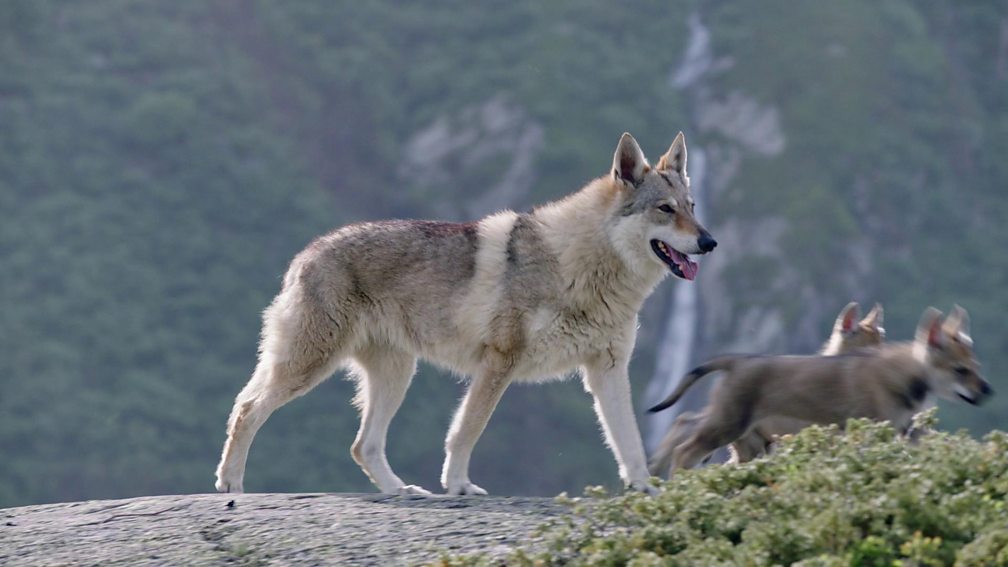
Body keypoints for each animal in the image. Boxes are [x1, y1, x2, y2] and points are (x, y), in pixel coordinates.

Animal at [214, 132, 717, 495]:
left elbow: (630, 442)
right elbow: (466, 431)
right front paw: (458, 486)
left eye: (692, 208)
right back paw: (232, 485)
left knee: (362, 446)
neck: (578, 266)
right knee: (246, 408)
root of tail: (307, 252)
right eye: (665, 209)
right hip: (312, 368)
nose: (710, 242)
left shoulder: (607, 370)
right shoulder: (499, 363)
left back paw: (402, 491)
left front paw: (646, 490)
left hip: (396, 376)